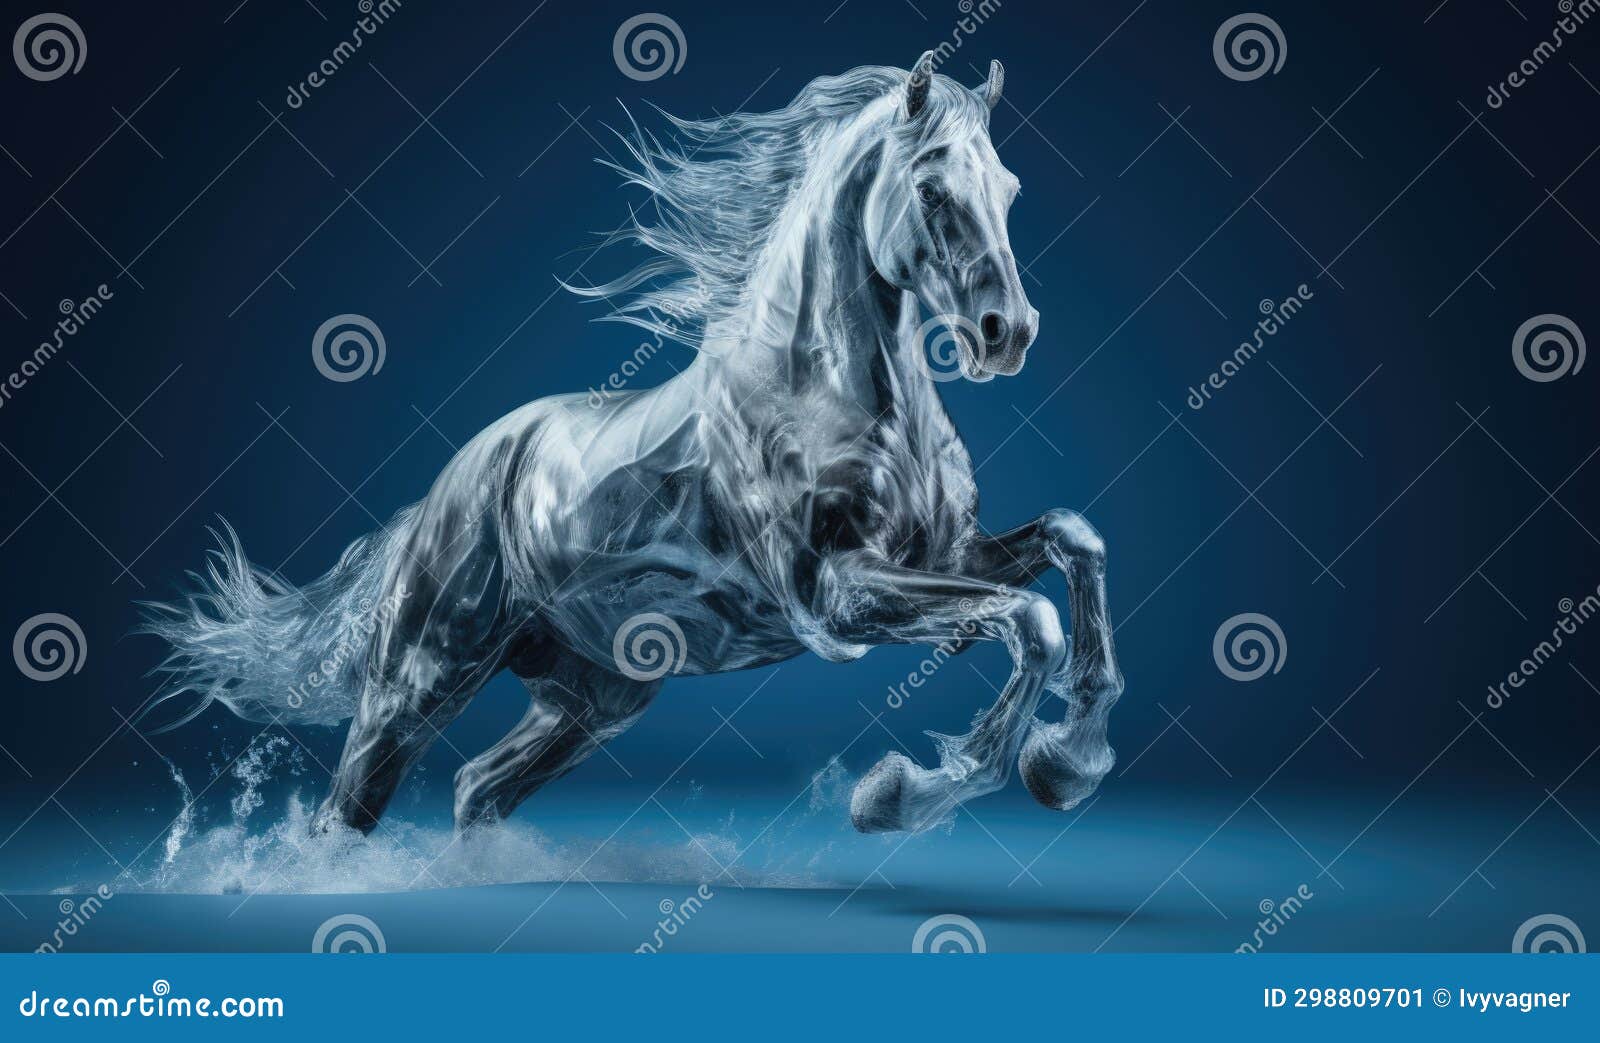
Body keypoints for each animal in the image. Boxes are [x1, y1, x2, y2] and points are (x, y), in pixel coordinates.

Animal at [141, 52, 1126, 839]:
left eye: (1009, 189)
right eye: (931, 188)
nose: (1008, 332)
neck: (834, 395)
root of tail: (453, 483)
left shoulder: (949, 558)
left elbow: (1073, 541)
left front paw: (1071, 760)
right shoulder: (837, 596)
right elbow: (1031, 622)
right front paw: (903, 794)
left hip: (595, 697)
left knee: (476, 787)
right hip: (419, 678)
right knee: (351, 805)